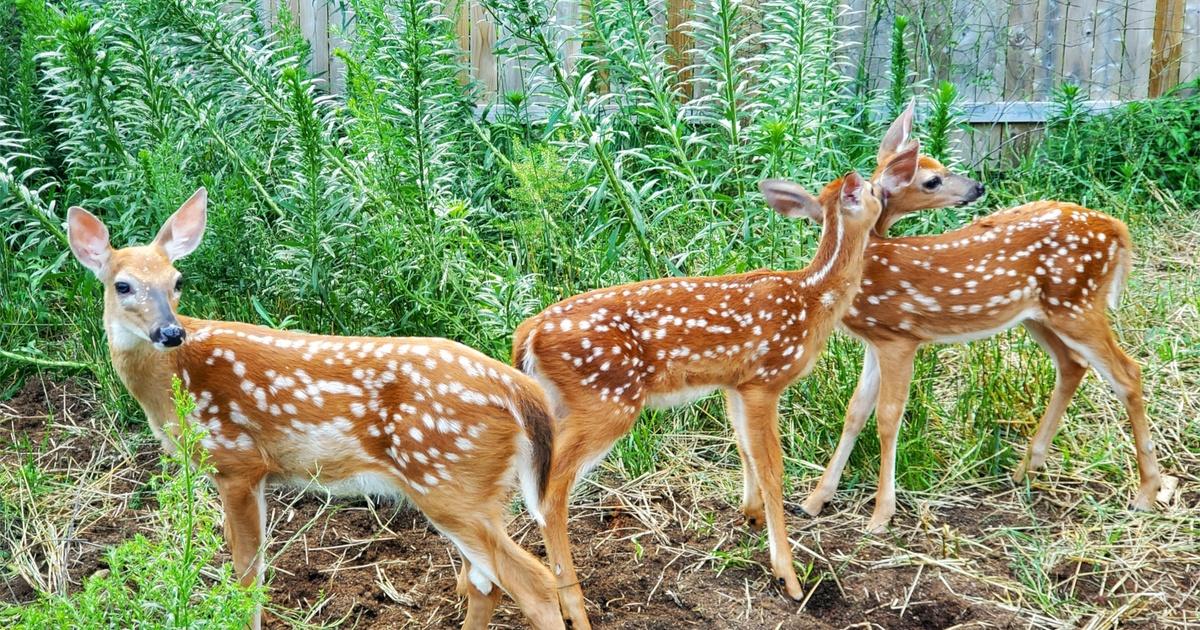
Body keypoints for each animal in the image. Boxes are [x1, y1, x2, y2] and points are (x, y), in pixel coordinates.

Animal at [66, 189, 566, 630]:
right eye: (123, 285)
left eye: (177, 282)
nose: (170, 332)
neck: (173, 385)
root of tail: (521, 390)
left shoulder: (237, 461)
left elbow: (249, 573)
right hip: (470, 490)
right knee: (486, 583)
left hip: (449, 481)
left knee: (533, 582)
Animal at [511, 168, 898, 629]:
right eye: (872, 190)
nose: (890, 189)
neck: (810, 298)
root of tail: (528, 334)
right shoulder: (764, 379)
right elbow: (772, 467)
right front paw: (787, 576)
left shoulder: (734, 384)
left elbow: (745, 448)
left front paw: (751, 516)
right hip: (607, 399)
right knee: (550, 493)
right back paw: (573, 608)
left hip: (560, 403)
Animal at [799, 104, 1163, 533]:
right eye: (932, 178)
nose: (978, 187)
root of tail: (1117, 228)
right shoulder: (878, 340)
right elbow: (855, 412)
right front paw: (814, 500)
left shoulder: (901, 338)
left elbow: (888, 418)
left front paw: (880, 515)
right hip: (1041, 315)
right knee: (1073, 365)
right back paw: (1027, 468)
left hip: (1078, 304)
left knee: (1128, 373)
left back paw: (1146, 494)